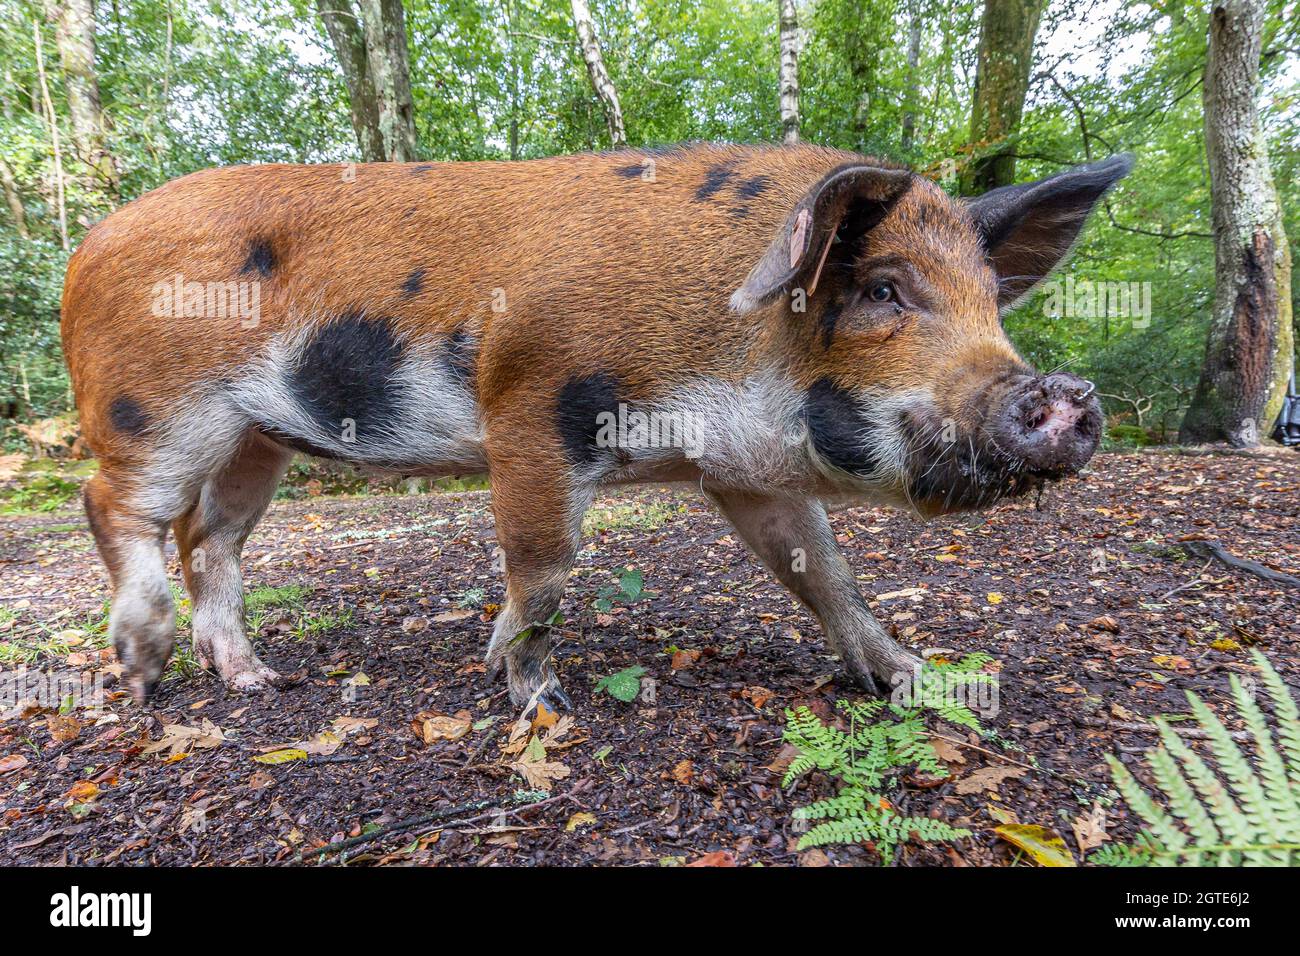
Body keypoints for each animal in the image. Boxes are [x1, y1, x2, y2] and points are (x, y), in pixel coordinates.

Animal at [61, 144, 1132, 711]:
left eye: (991, 298)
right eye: (881, 291)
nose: (1067, 394)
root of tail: (88, 241)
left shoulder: (745, 471)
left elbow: (822, 572)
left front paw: (916, 681)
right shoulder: (530, 409)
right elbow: (545, 566)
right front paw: (534, 696)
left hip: (258, 439)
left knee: (211, 538)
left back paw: (254, 682)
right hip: (156, 408)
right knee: (110, 502)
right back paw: (145, 676)